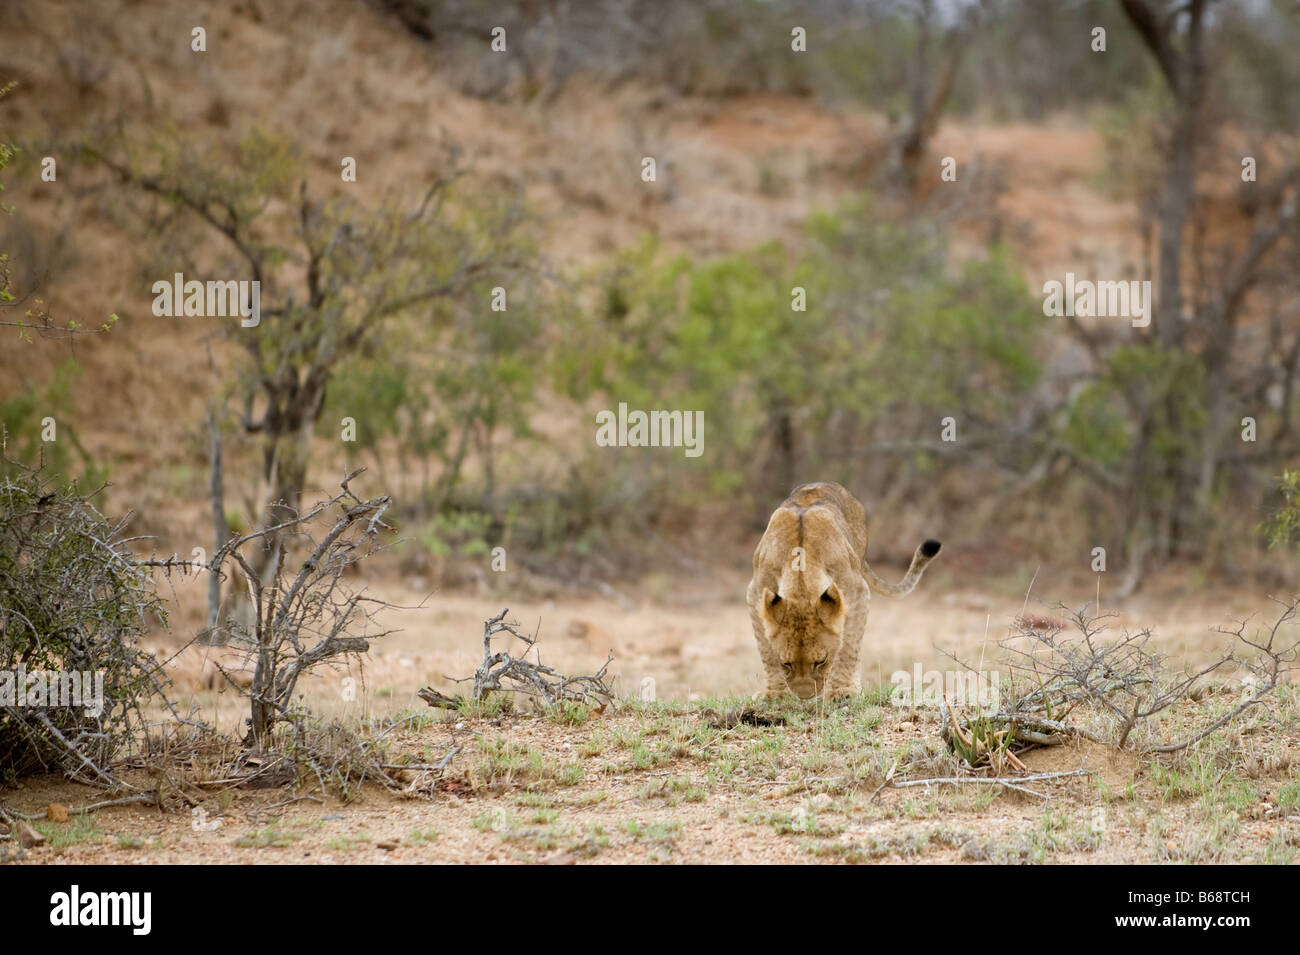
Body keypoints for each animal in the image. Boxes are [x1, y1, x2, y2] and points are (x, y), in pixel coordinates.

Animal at [746, 482, 941, 701]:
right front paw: (775, 694)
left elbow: (848, 647)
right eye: (786, 663)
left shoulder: (858, 592)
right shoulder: (755, 593)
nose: (806, 697)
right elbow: (766, 651)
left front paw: (843, 691)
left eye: (821, 661)